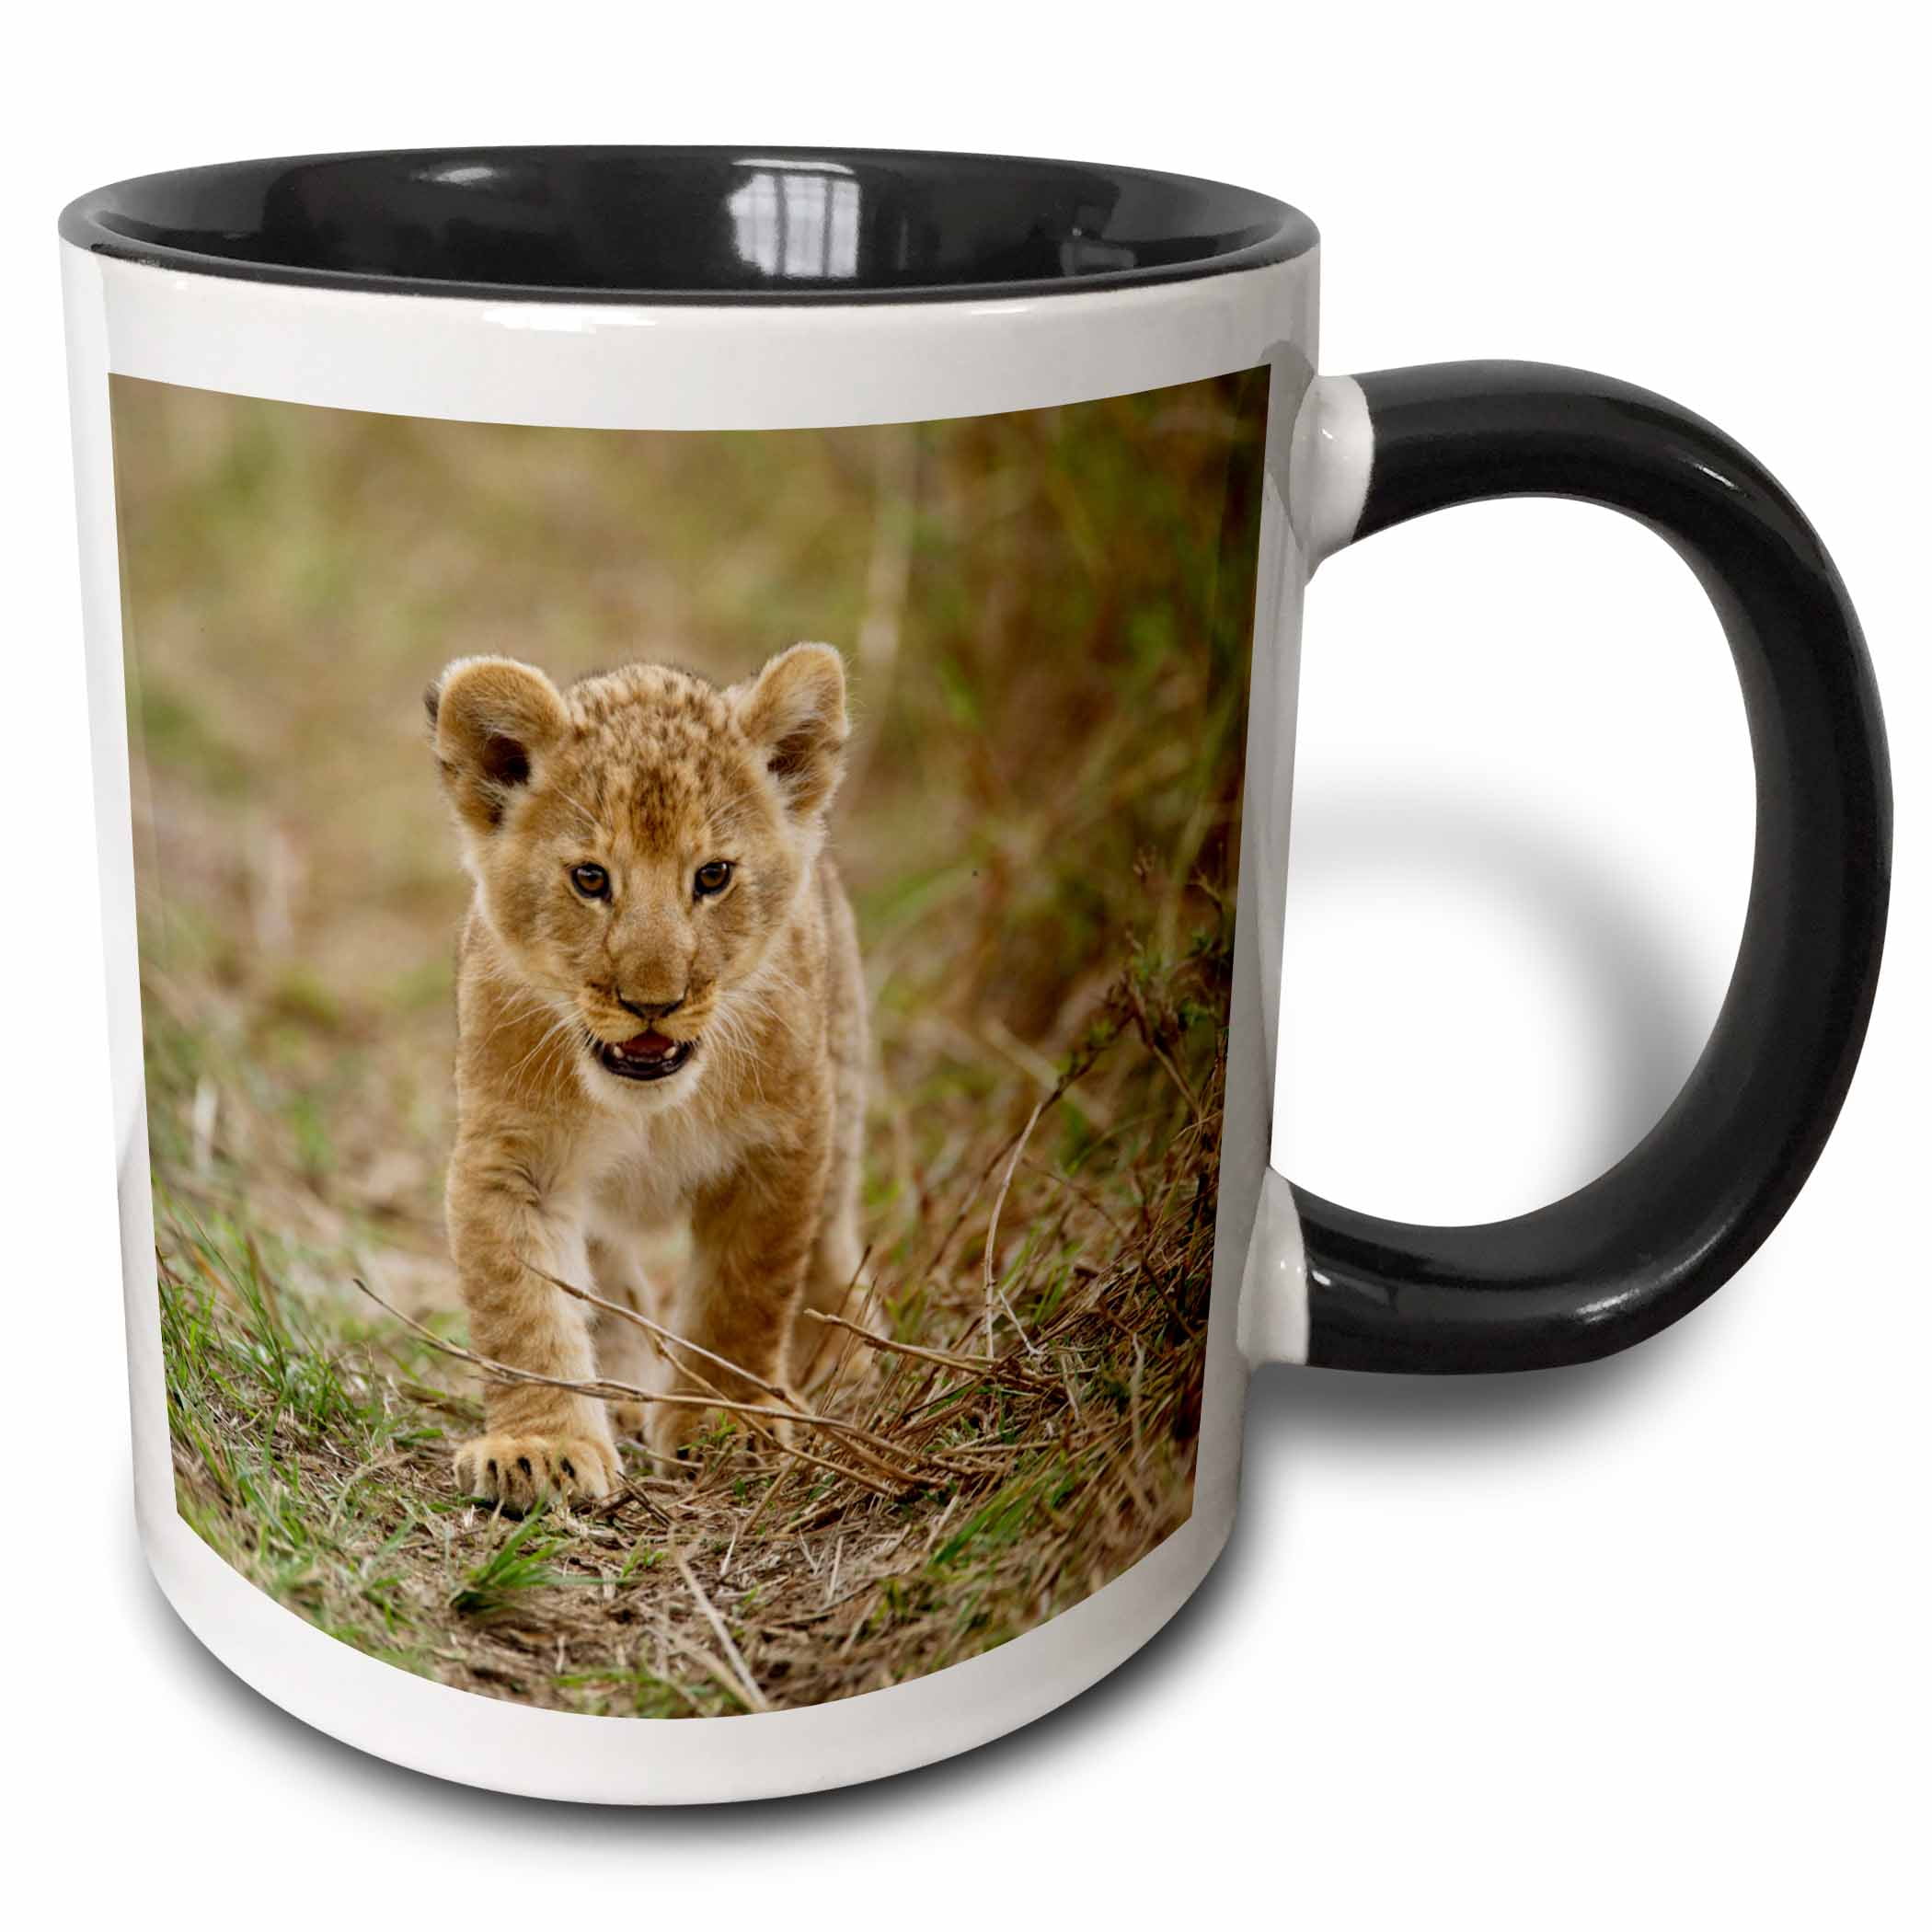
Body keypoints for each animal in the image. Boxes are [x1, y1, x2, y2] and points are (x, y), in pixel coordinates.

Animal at [425, 643, 868, 1509]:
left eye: (714, 876)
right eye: (591, 879)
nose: (652, 1003)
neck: (650, 1104)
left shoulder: (782, 1147)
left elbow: (743, 1299)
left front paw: (728, 1425)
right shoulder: (510, 1157)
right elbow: (523, 1307)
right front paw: (542, 1448)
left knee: (833, 1257)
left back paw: (847, 1374)